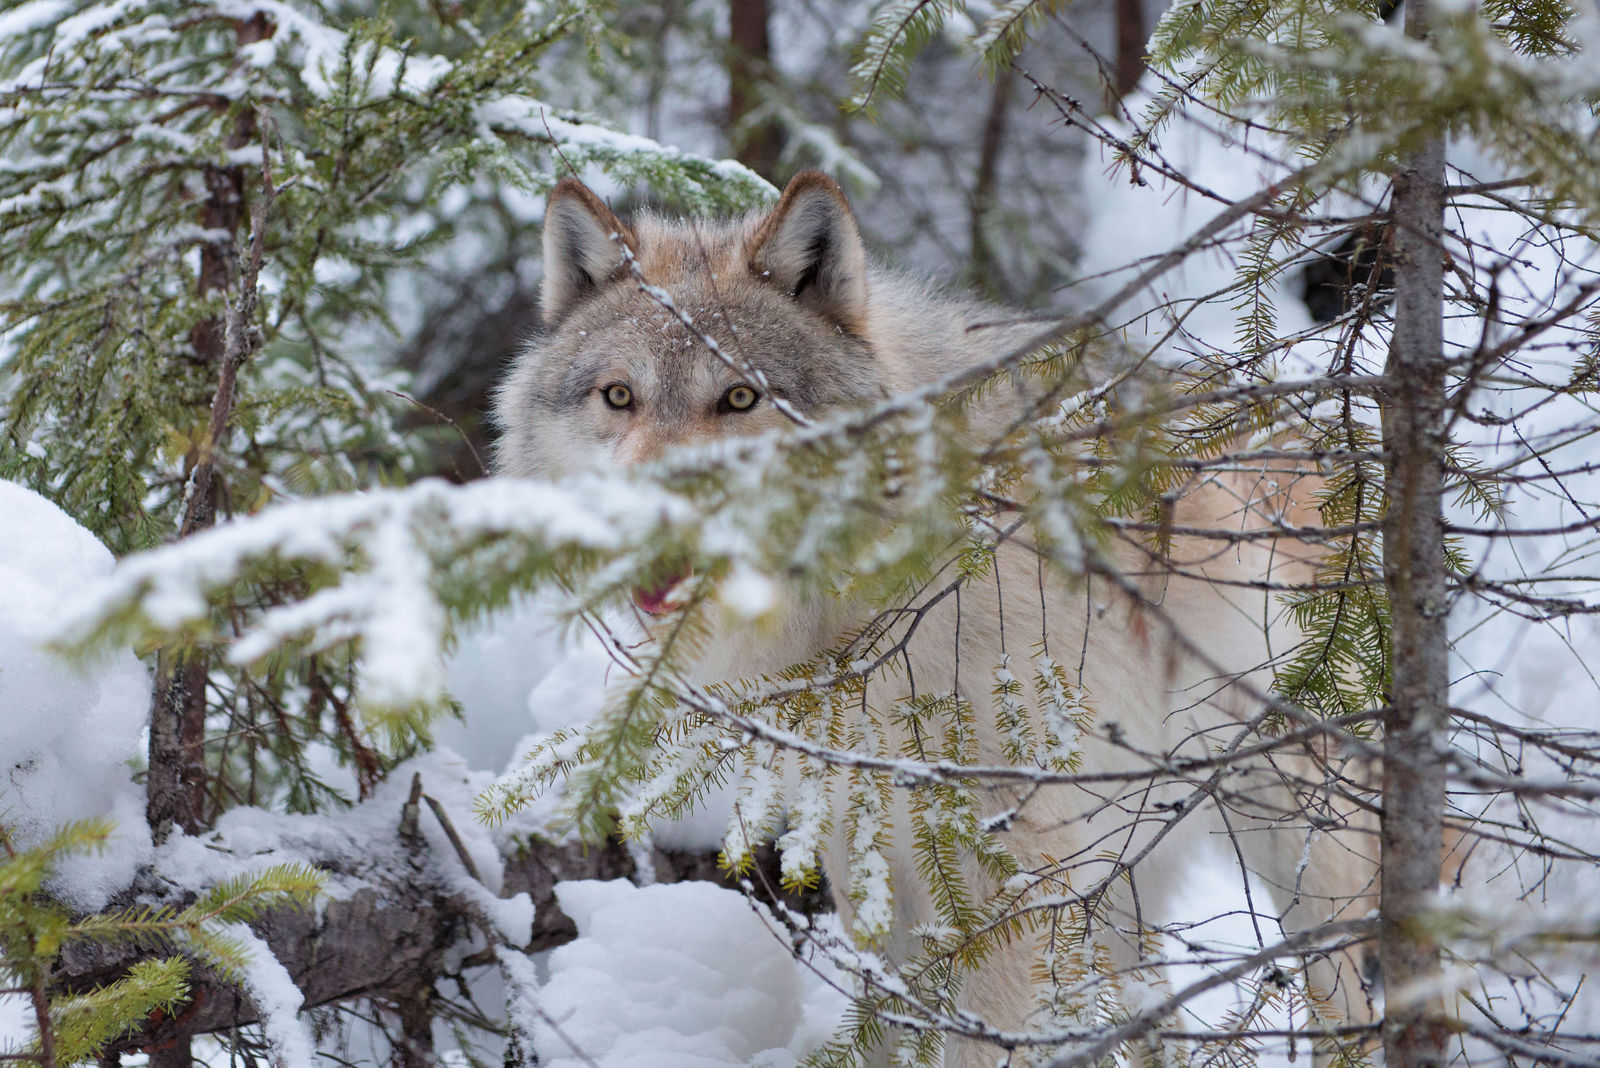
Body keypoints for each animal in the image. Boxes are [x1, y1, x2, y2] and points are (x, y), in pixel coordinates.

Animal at [495, 172, 1379, 1066]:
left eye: (740, 397)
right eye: (619, 396)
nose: (645, 520)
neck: (854, 604)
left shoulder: (1001, 859)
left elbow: (979, 1033)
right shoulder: (869, 843)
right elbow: (891, 1022)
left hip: (1294, 839)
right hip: (1120, 869)